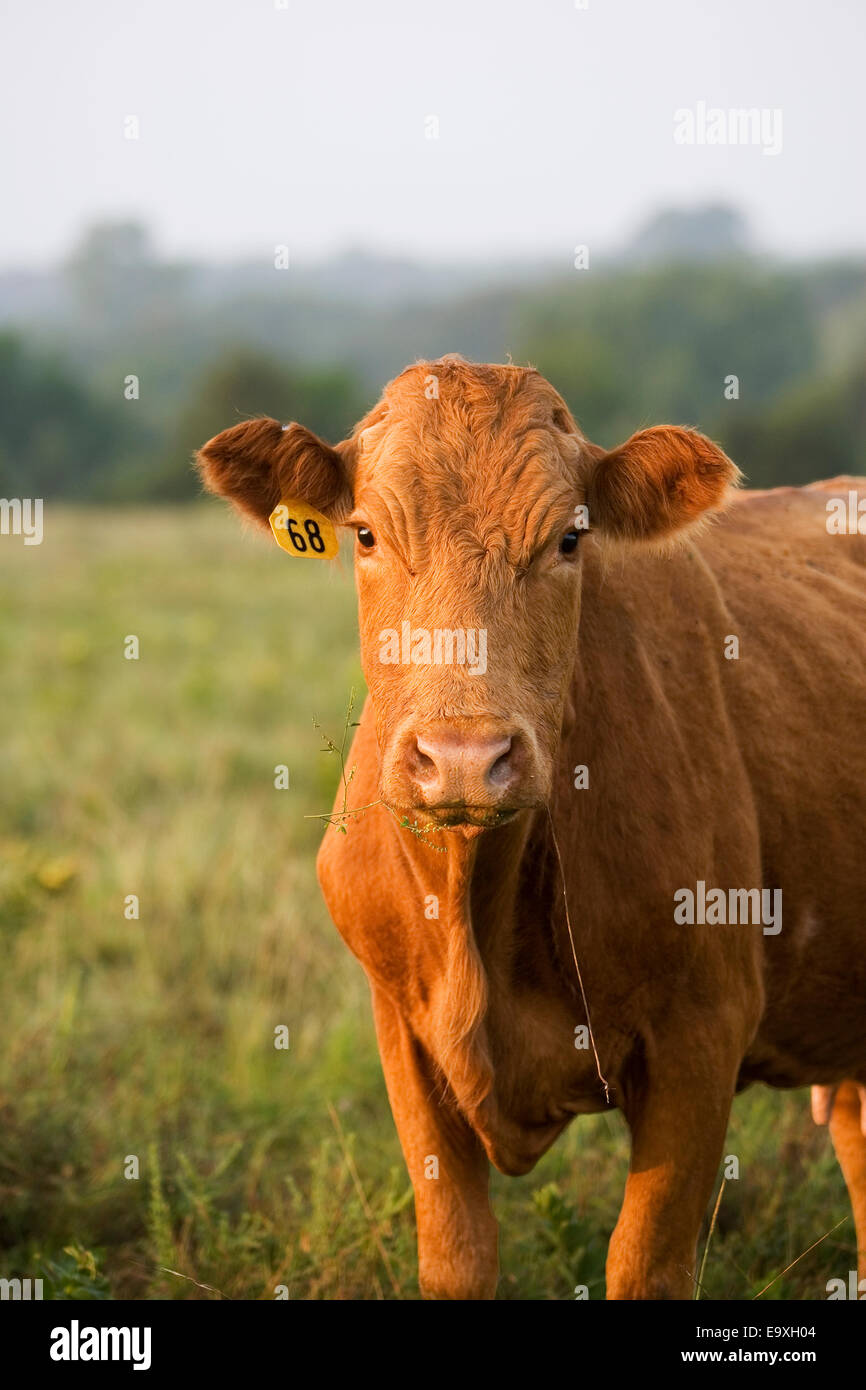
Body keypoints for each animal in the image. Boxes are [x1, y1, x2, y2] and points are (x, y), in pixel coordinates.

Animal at [197, 356, 866, 1300]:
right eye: (364, 535)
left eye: (570, 541)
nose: (465, 757)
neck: (482, 902)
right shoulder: (401, 1030)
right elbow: (457, 1255)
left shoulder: (703, 1033)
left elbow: (645, 1264)